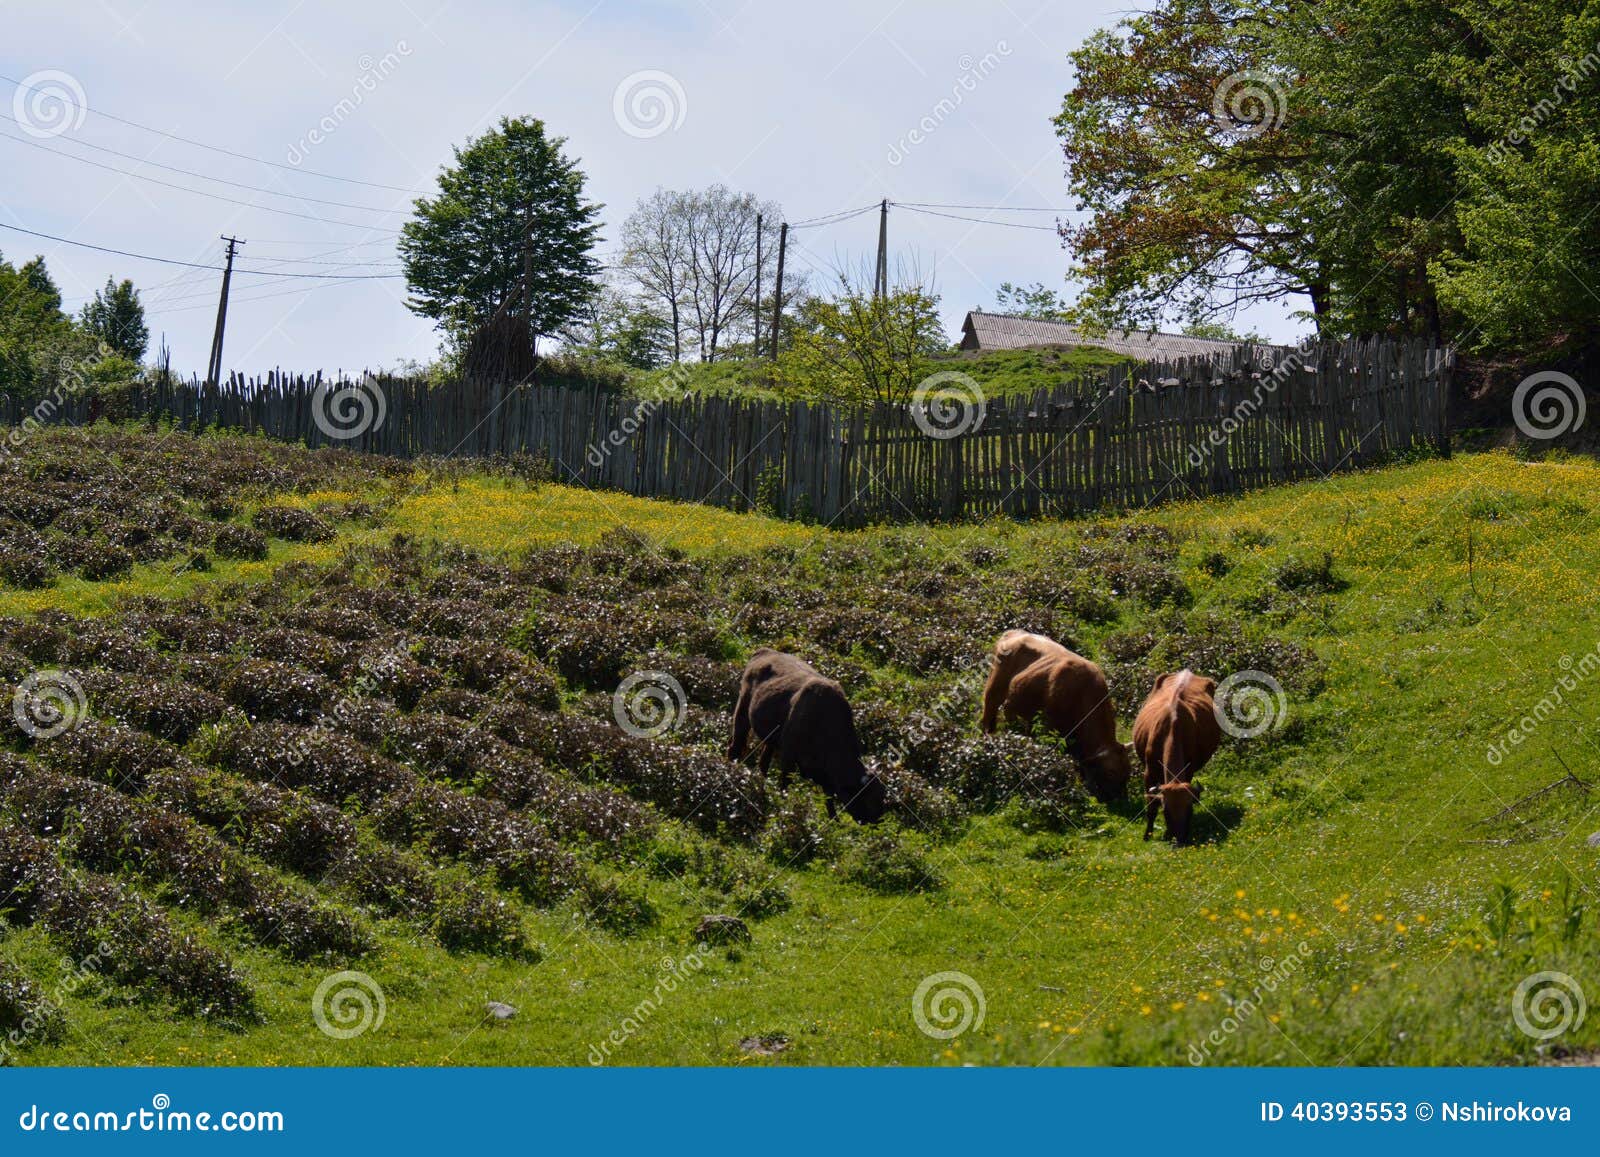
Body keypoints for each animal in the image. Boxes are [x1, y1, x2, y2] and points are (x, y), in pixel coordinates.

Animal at [728, 648, 887, 824]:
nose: (879, 819)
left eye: (881, 795)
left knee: (763, 762)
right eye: (867, 798)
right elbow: (786, 785)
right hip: (742, 713)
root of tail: (764, 651)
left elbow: (829, 799)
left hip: (769, 739)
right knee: (735, 747)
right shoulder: (788, 758)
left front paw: (835, 822)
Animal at [978, 629, 1132, 802]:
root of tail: (1014, 633)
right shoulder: (1050, 729)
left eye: (1128, 772)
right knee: (986, 718)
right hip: (993, 691)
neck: (1082, 693)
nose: (1121, 801)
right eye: (1110, 772)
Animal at [1132, 669, 1221, 845]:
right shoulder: (1149, 772)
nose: (1180, 839)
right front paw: (1147, 835)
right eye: (1166, 811)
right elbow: (1151, 807)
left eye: (1189, 810)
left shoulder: (1190, 768)